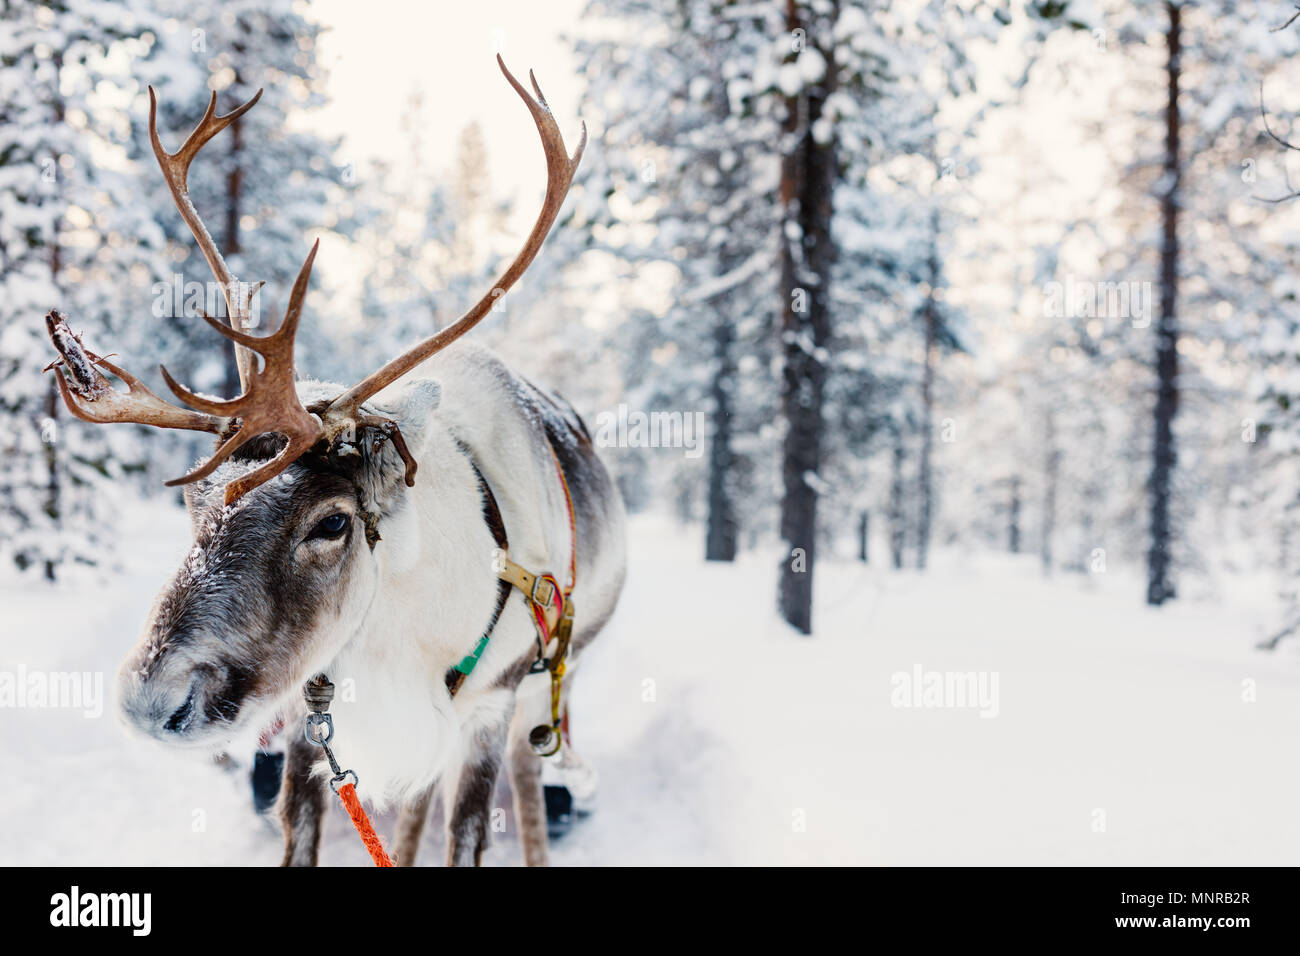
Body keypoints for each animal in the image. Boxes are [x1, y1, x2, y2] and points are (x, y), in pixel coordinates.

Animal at [41, 58, 626, 867]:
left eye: (333, 522)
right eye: (194, 501)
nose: (149, 702)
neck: (402, 633)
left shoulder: (488, 707)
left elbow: (469, 830)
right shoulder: (312, 719)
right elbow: (304, 831)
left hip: (545, 689)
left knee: (532, 779)